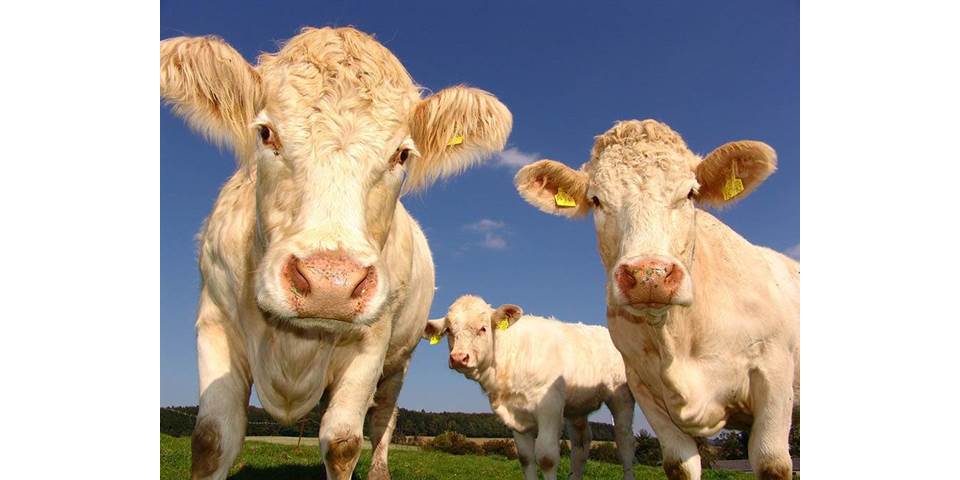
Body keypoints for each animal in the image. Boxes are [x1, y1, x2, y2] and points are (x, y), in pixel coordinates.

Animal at [160, 27, 512, 480]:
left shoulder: (372, 343)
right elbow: (212, 437)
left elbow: (344, 442)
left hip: (398, 361)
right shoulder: (215, 321)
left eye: (402, 154)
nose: (331, 284)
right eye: (266, 133)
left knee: (382, 419)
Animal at [424, 295, 637, 480]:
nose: (459, 358)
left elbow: (547, 458)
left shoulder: (550, 407)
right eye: (449, 330)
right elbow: (526, 458)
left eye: (483, 328)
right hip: (577, 406)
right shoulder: (515, 416)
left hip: (621, 396)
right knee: (581, 443)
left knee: (625, 442)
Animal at [514, 119, 799, 480]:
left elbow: (771, 461)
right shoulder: (645, 388)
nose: (649, 274)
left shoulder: (774, 373)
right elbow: (679, 465)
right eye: (596, 200)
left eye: (690, 193)